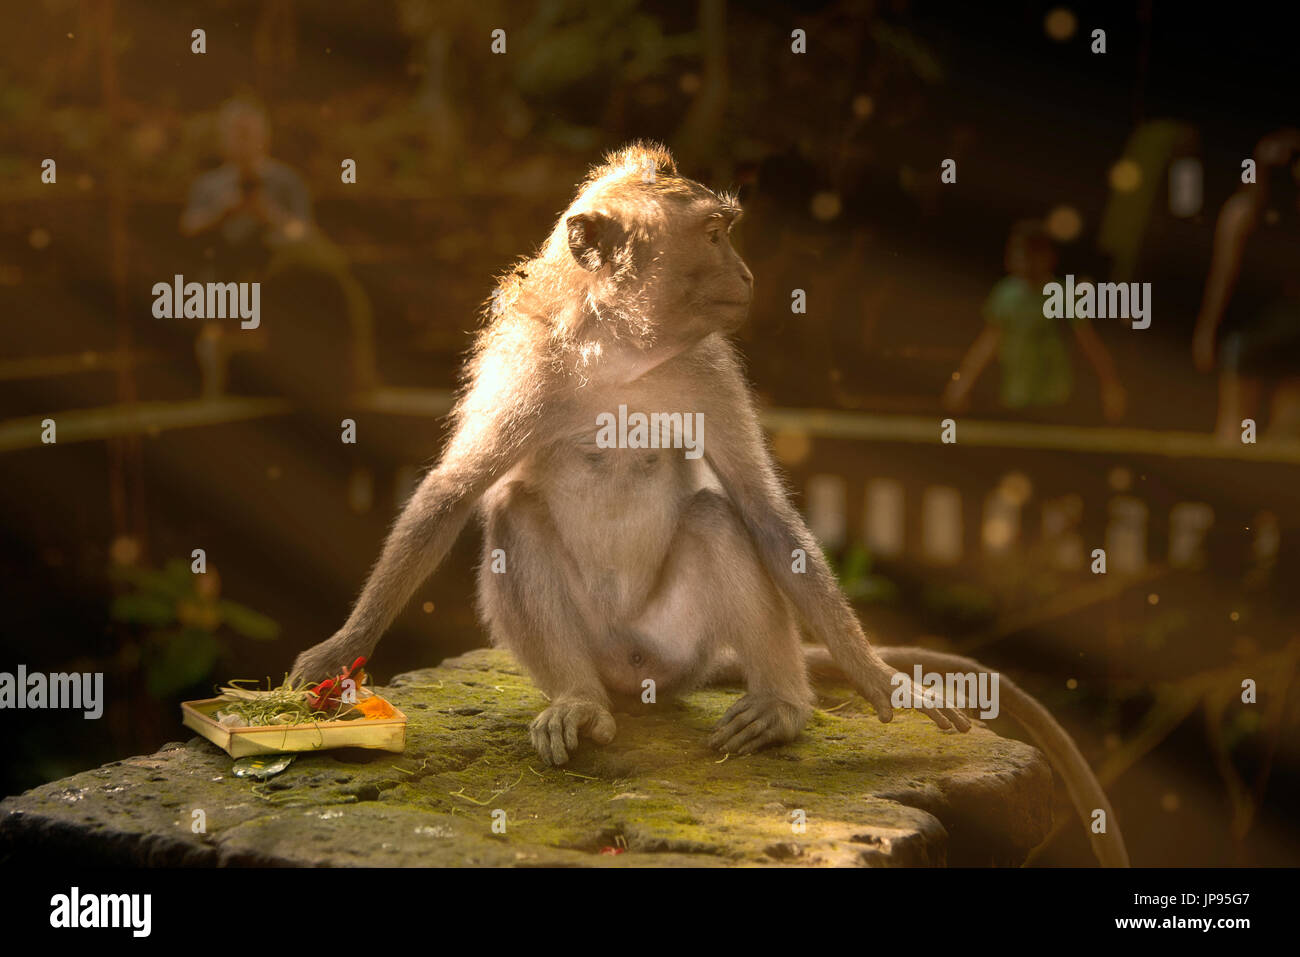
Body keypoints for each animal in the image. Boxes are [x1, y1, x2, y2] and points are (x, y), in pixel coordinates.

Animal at [292, 142, 1127, 866]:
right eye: (715, 234)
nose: (748, 271)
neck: (622, 352)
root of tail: (635, 673)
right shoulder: (524, 366)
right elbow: (450, 495)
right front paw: (342, 645)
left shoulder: (707, 368)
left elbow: (763, 513)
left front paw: (884, 678)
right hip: (589, 648)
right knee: (514, 516)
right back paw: (581, 704)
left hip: (677, 644)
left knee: (714, 518)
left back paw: (782, 706)